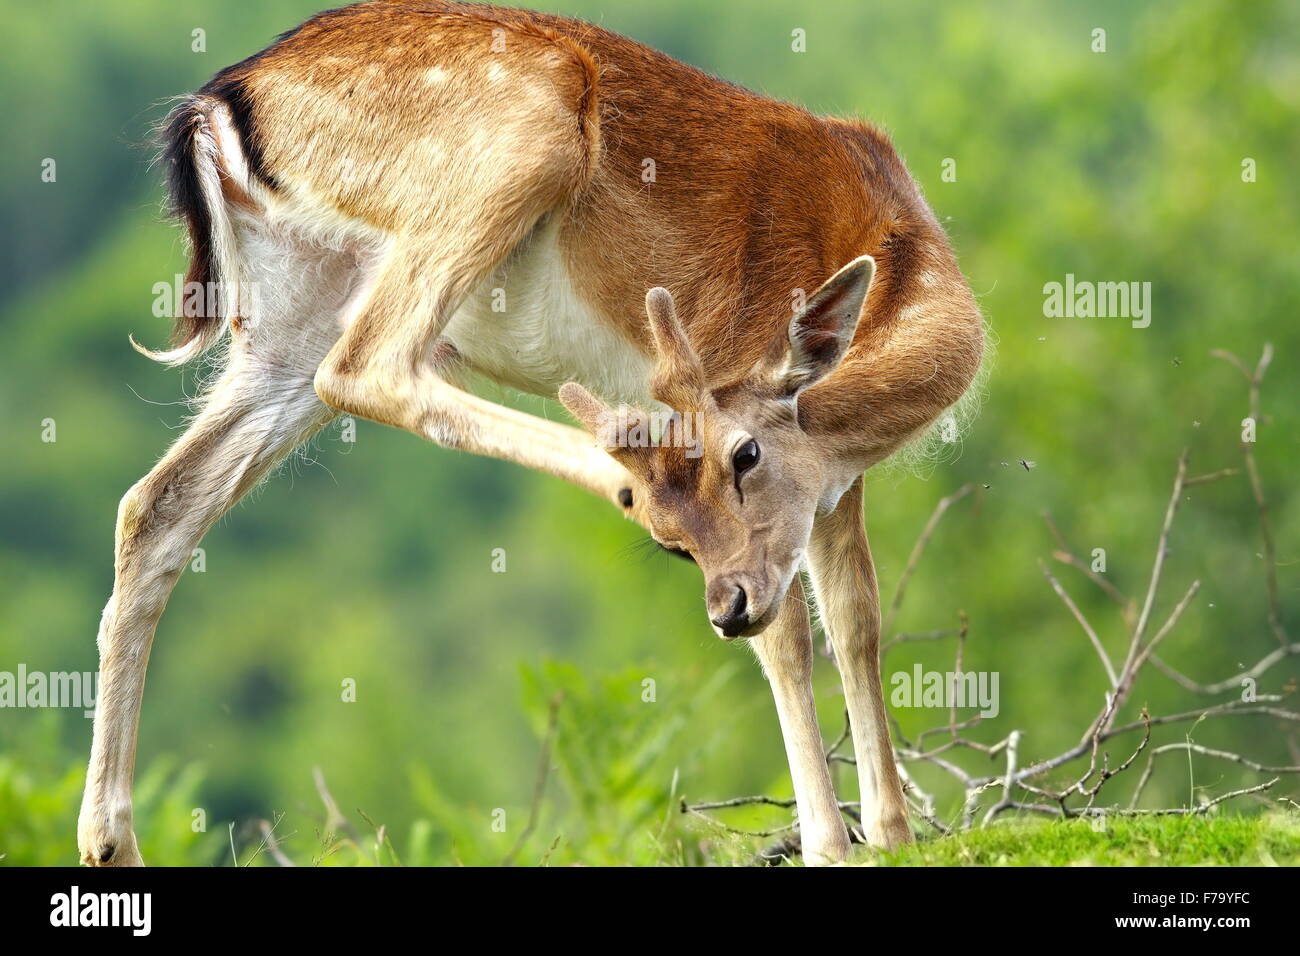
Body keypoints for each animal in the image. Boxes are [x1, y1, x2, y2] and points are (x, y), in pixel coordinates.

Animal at [79, 0, 983, 867]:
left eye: (750, 454)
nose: (724, 606)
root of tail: (215, 104)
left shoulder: (836, 485)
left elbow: (859, 620)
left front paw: (894, 834)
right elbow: (793, 636)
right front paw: (833, 844)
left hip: (289, 313)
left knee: (156, 503)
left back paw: (112, 841)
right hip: (514, 145)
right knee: (371, 366)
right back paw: (620, 477)